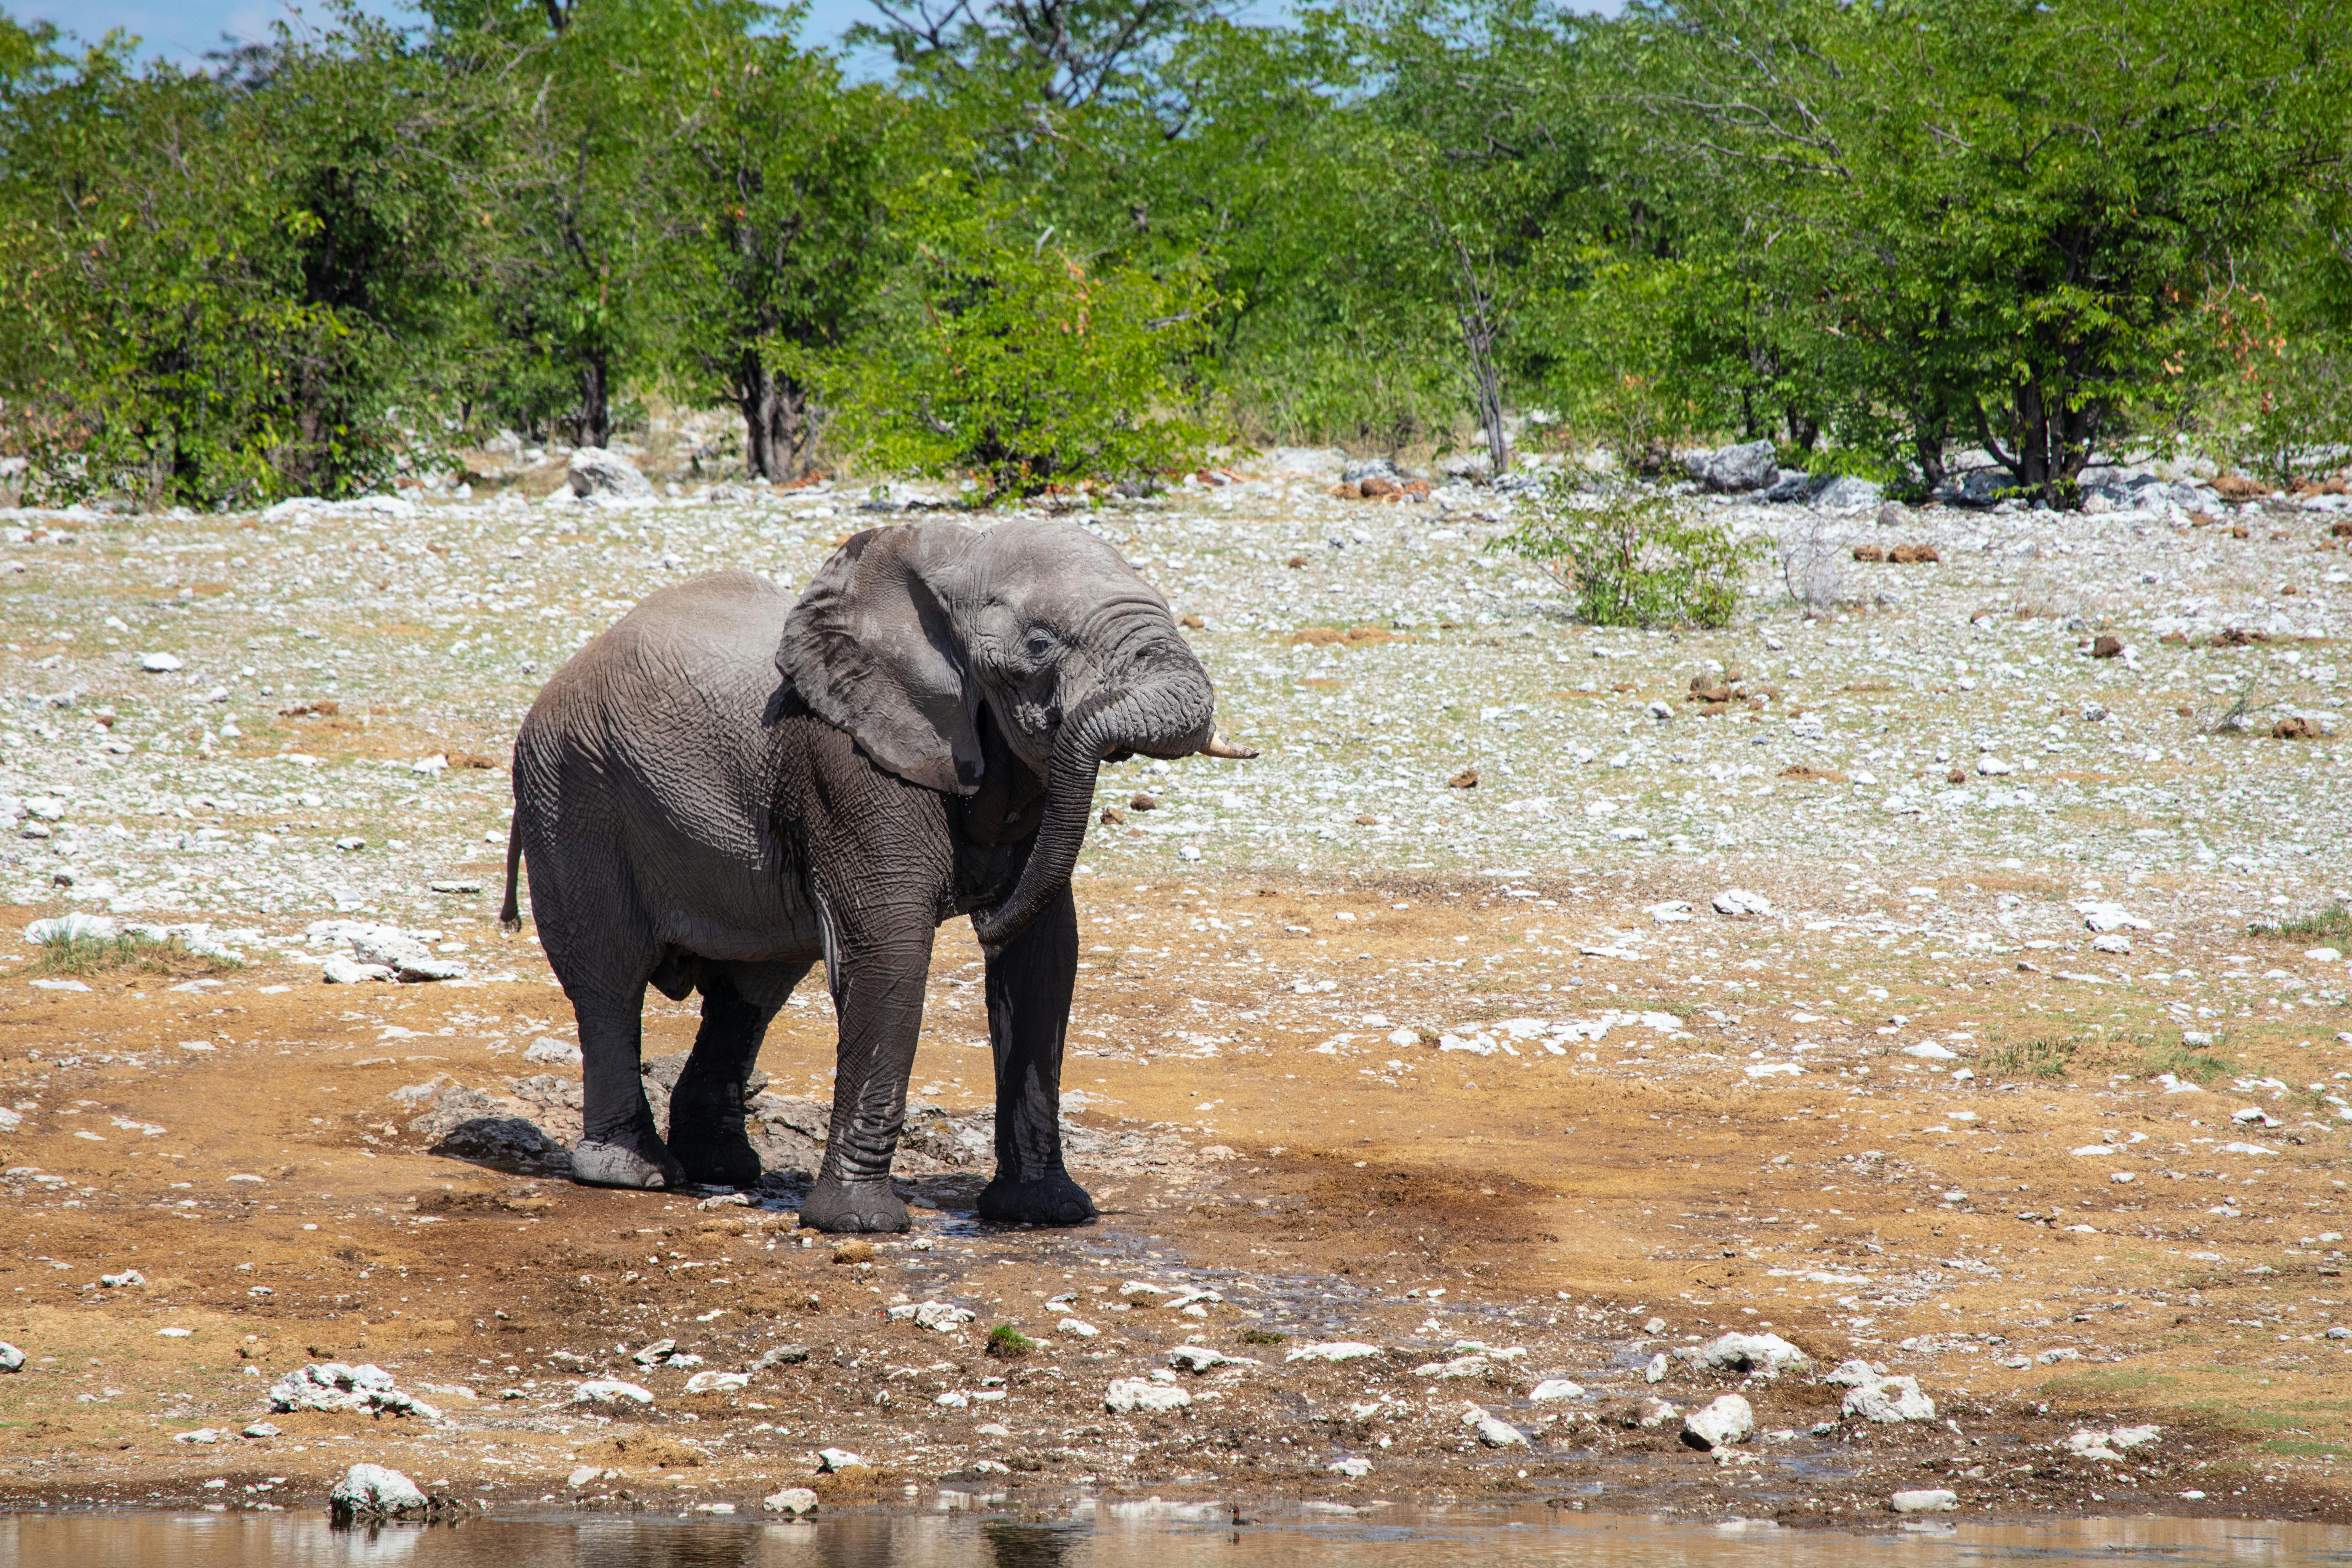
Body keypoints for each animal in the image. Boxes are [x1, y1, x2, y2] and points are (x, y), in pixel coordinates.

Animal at [497, 517, 1252, 1233]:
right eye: (1040, 645)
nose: (977, 910)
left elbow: (1043, 955)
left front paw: (1046, 1213)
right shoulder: (852, 757)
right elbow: (889, 947)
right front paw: (859, 1224)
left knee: (751, 991)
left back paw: (725, 1168)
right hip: (571, 793)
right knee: (610, 978)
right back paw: (635, 1173)